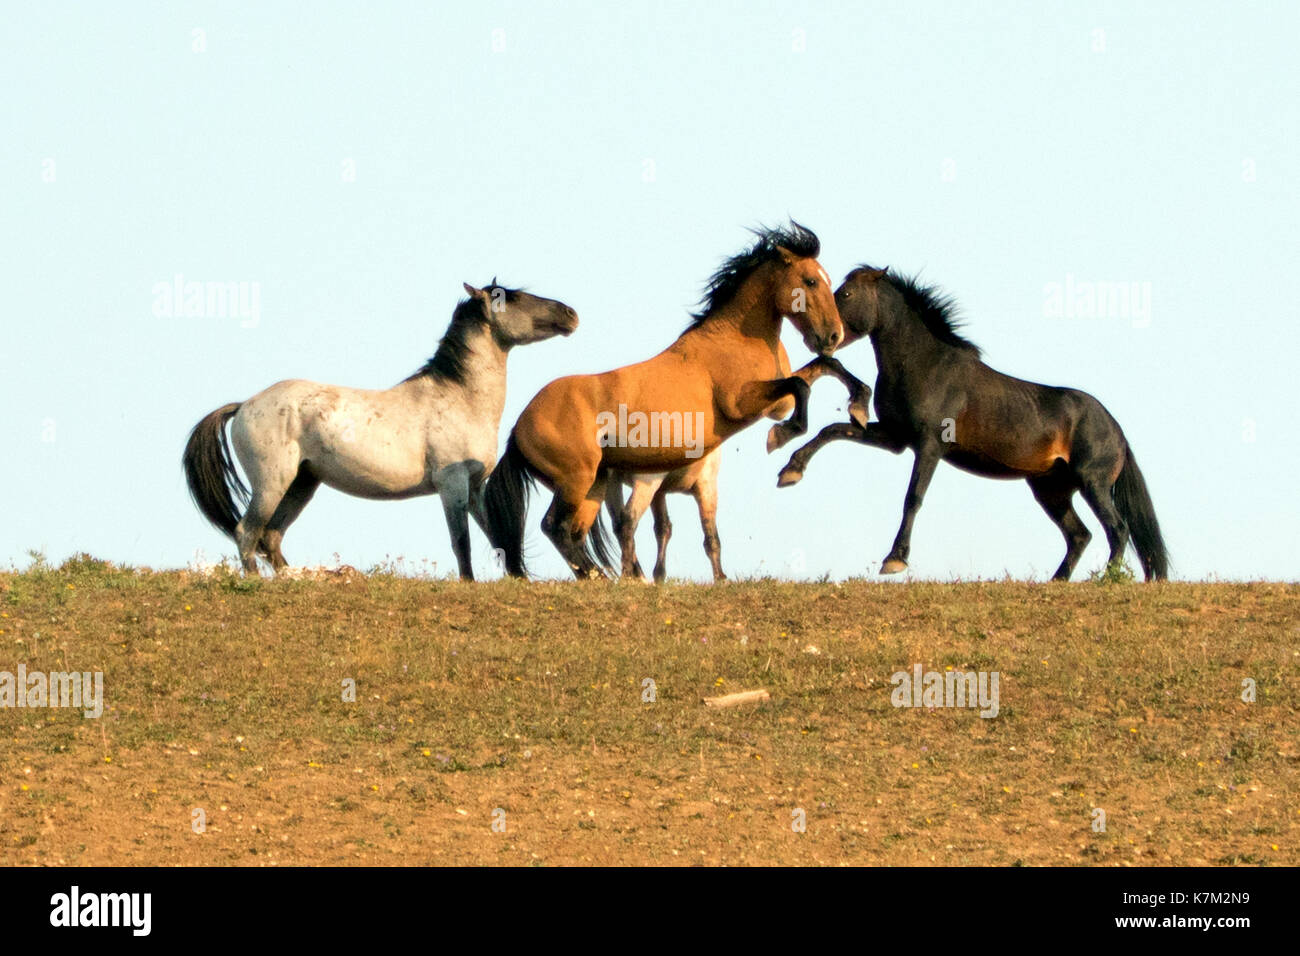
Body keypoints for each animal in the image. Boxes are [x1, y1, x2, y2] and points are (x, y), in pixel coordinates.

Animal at [183, 282, 579, 580]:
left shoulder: (476, 485)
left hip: (301, 484)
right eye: (511, 297)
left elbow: (496, 535)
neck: (458, 396)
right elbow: (461, 542)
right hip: (271, 483)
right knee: (247, 533)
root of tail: (244, 405)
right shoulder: (451, 483)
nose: (570, 315)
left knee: (271, 537)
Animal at [484, 222, 844, 579]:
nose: (833, 335)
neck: (735, 339)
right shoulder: (741, 405)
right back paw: (606, 576)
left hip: (593, 486)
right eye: (810, 281)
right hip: (577, 479)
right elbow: (800, 385)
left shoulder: (775, 405)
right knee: (555, 526)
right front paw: (785, 444)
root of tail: (517, 431)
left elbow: (823, 369)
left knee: (575, 531)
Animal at [777, 265, 1169, 581]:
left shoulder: (930, 446)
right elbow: (832, 430)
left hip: (1092, 482)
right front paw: (789, 471)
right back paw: (1057, 581)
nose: (823, 337)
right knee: (1080, 535)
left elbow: (913, 498)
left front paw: (894, 560)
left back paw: (1106, 579)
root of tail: (1117, 431)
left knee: (1117, 529)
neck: (924, 365)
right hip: (1051, 490)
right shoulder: (895, 437)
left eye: (845, 293)